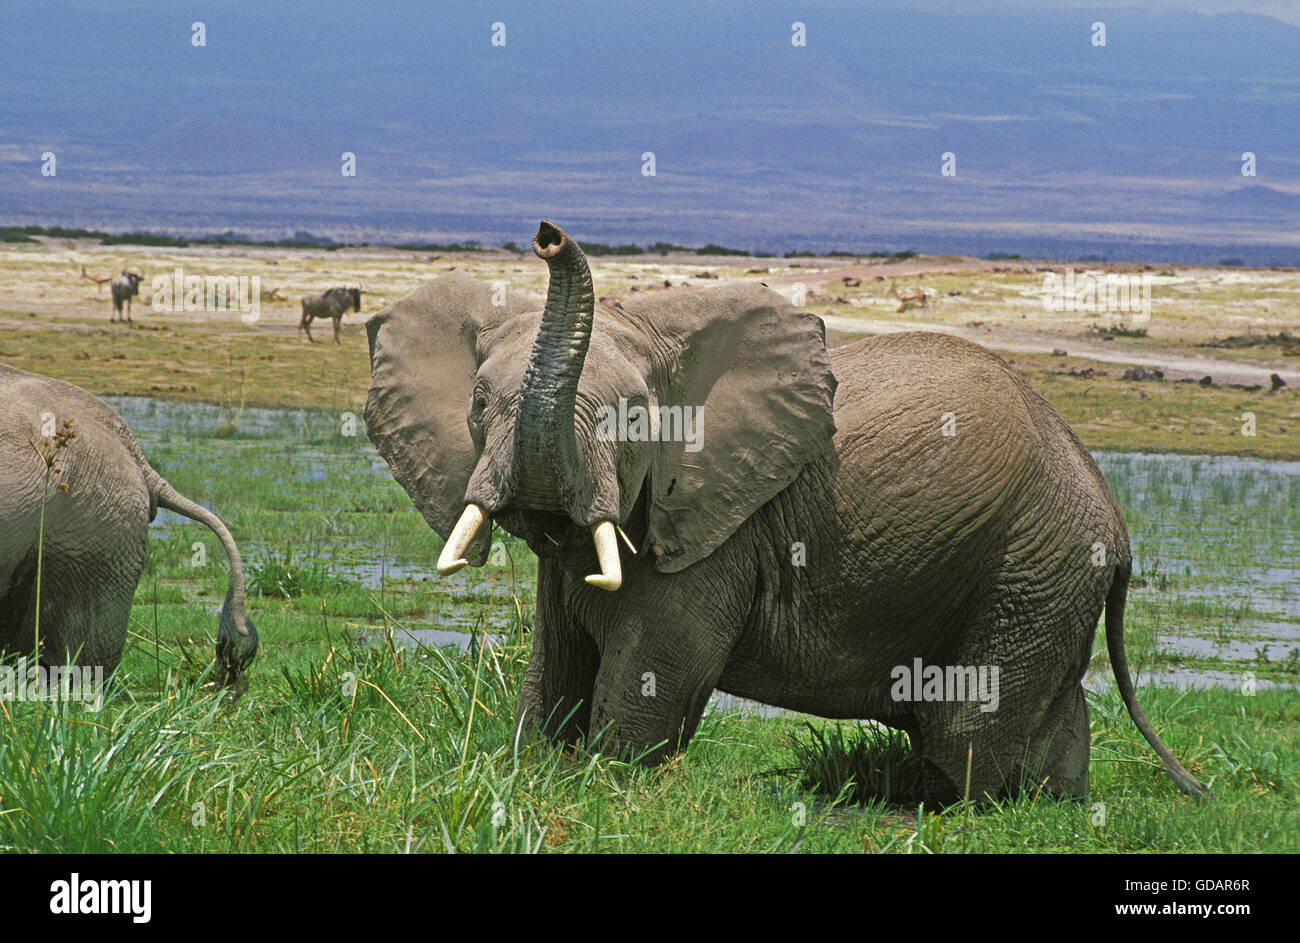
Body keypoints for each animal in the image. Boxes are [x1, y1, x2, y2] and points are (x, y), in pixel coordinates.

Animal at [364, 220, 1202, 804]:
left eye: (634, 418)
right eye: (479, 402)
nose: (547, 235)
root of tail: (1114, 518)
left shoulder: (714, 530)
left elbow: (655, 671)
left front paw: (610, 787)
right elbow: (555, 668)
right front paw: (533, 768)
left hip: (1031, 561)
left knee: (967, 734)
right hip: (1046, 569)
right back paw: (1054, 806)